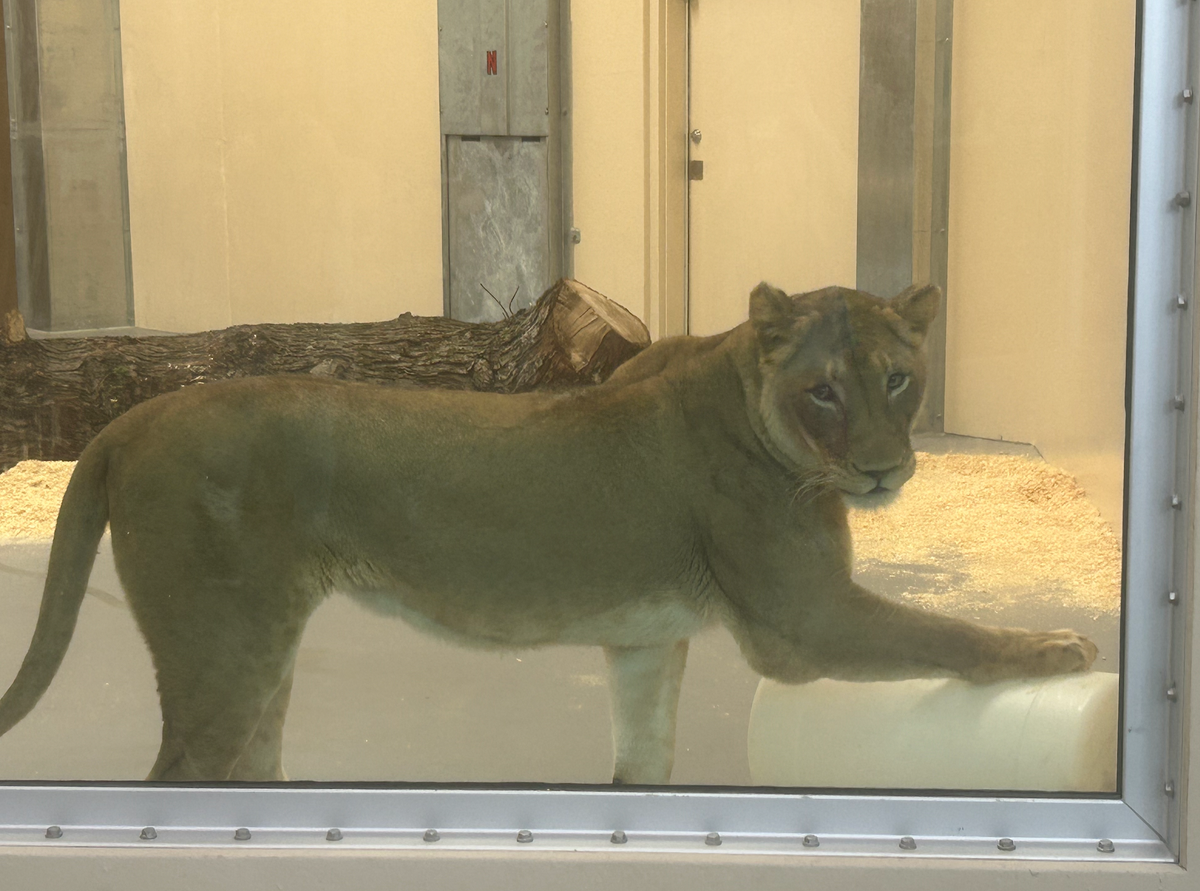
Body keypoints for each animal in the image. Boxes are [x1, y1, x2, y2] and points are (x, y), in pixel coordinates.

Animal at [0, 282, 1097, 784]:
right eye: (825, 390)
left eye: (899, 378)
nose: (882, 467)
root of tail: (129, 419)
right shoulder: (803, 622)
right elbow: (943, 631)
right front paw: (1058, 647)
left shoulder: (647, 642)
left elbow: (641, 761)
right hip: (223, 647)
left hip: (261, 656)